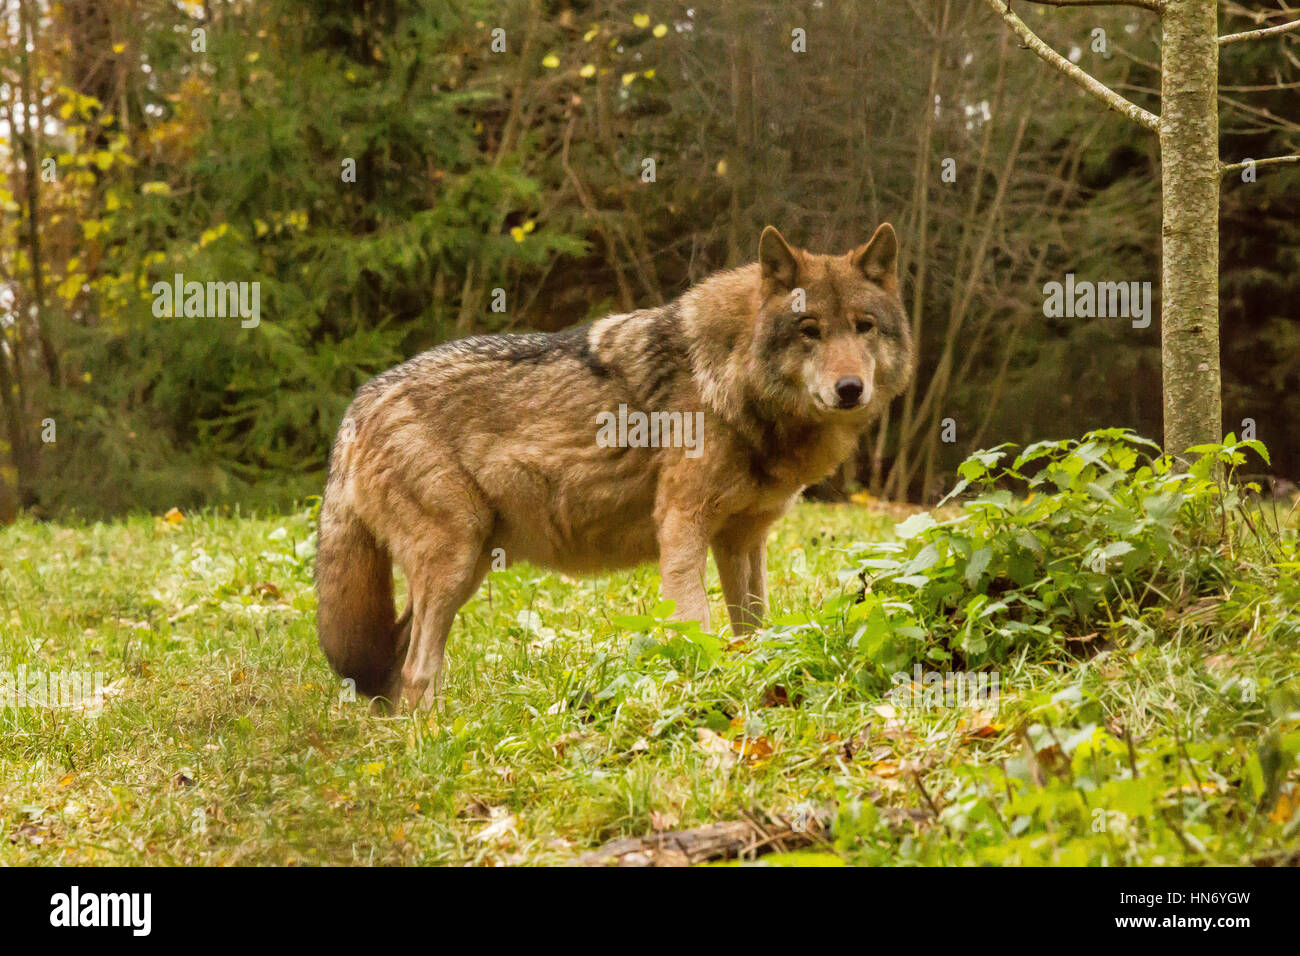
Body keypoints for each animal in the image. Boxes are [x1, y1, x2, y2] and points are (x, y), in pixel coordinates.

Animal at [316, 223, 914, 709]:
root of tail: (357, 405)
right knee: (418, 671)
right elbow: (695, 624)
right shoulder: (681, 525)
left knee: (395, 668)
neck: (729, 381)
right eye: (810, 330)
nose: (849, 389)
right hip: (455, 564)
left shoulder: (743, 540)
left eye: (863, 327)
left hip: (468, 567)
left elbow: (753, 630)